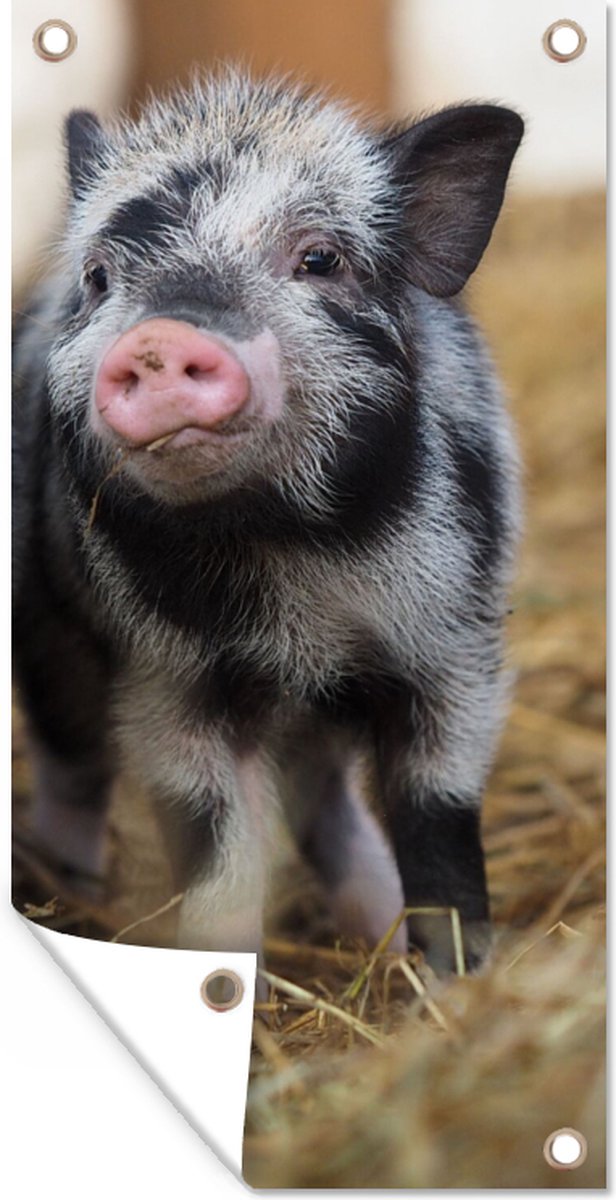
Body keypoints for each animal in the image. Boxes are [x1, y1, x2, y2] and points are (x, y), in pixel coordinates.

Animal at [13, 69, 523, 974]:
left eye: (319, 258)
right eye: (101, 276)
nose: (161, 339)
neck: (289, 559)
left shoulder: (455, 649)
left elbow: (439, 821)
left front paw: (458, 984)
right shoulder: (167, 685)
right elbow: (221, 861)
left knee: (329, 806)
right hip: (47, 634)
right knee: (70, 769)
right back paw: (72, 890)